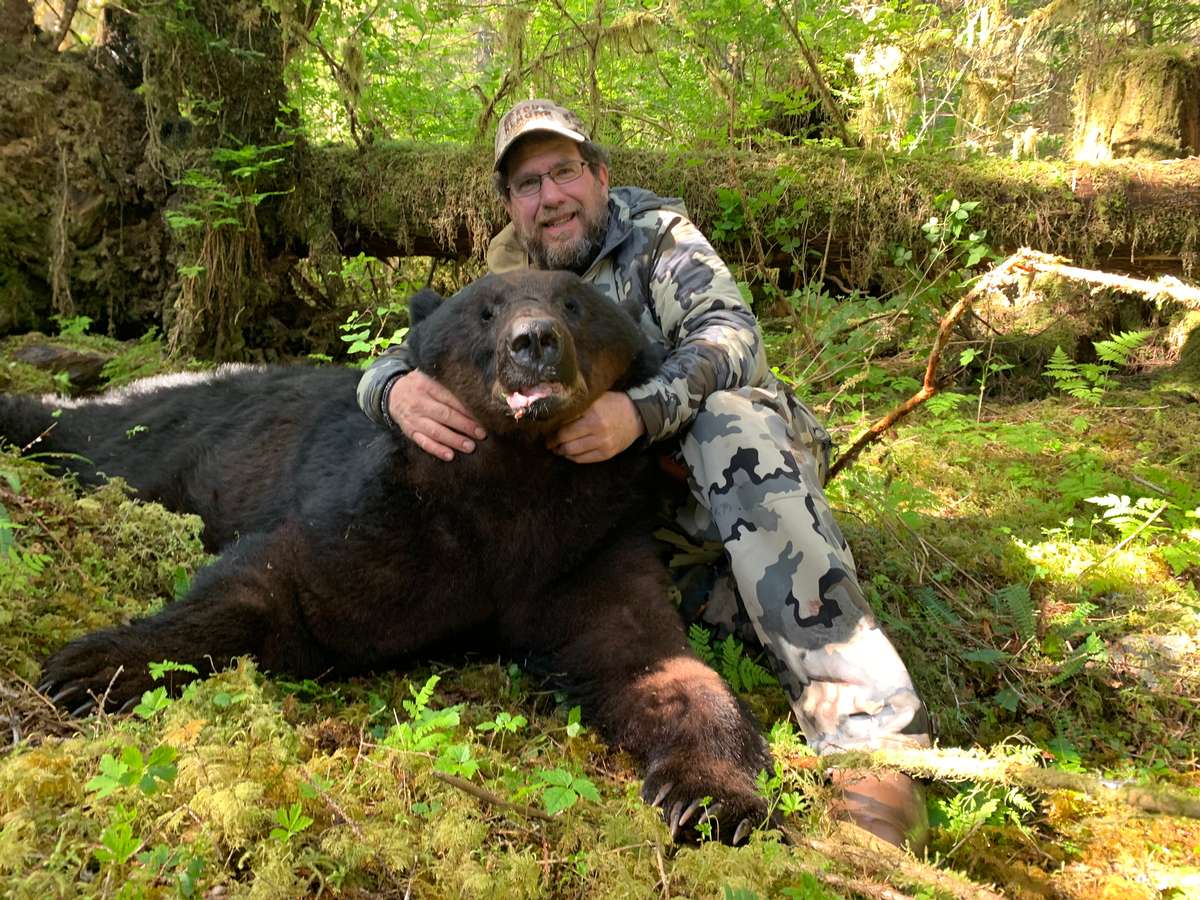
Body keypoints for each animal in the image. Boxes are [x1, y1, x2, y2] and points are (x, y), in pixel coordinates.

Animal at [1, 270, 772, 845]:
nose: (535, 342)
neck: (516, 486)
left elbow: (650, 657)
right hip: (148, 443)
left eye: (575, 304)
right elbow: (279, 585)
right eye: (485, 310)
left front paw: (713, 794)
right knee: (82, 433)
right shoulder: (397, 519)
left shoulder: (585, 544)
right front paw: (90, 668)